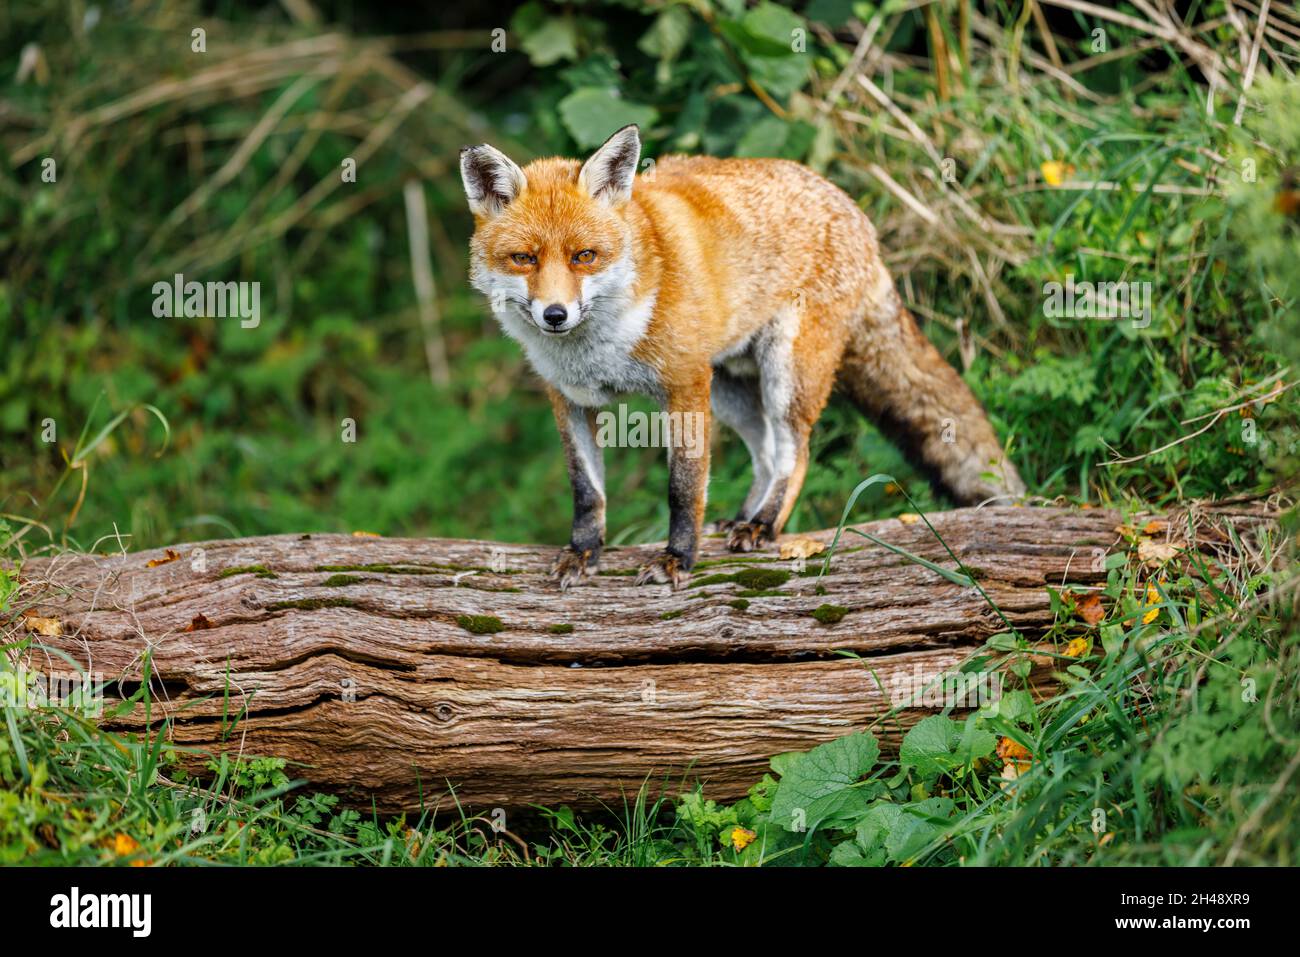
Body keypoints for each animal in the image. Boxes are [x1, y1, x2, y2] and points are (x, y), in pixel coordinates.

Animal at [459, 125, 1024, 589]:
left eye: (584, 257)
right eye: (524, 258)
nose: (555, 315)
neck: (599, 348)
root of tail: (853, 208)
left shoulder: (685, 385)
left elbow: (684, 487)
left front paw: (677, 559)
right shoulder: (569, 399)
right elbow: (586, 490)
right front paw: (584, 552)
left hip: (784, 375)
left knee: (796, 452)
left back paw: (764, 524)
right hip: (731, 387)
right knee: (766, 450)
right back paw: (744, 518)